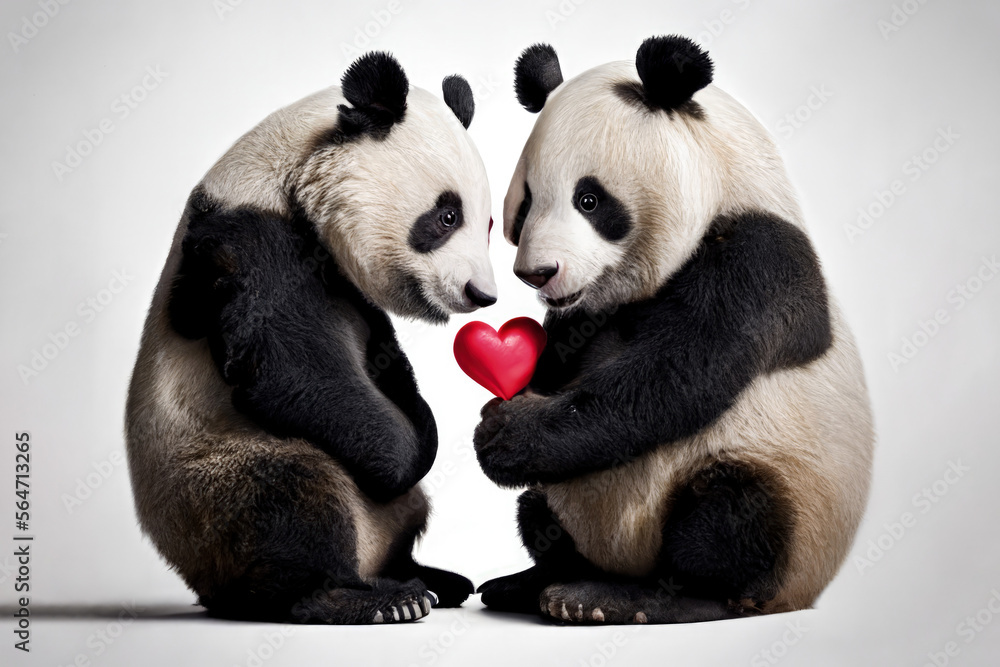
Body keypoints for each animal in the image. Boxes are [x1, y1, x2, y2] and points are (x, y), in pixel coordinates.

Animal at [125, 52, 496, 624]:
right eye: (446, 216)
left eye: (490, 222)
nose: (481, 294)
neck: (290, 170)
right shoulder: (254, 239)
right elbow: (290, 369)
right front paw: (402, 458)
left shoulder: (347, 286)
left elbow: (384, 361)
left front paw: (423, 436)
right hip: (209, 485)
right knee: (290, 499)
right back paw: (366, 599)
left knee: (408, 512)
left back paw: (425, 578)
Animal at [474, 36, 874, 624]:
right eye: (525, 204)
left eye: (589, 200)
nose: (538, 273)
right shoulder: (589, 311)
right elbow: (565, 359)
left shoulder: (761, 259)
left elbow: (678, 376)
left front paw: (504, 434)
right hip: (575, 509)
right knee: (538, 512)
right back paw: (538, 582)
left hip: (789, 498)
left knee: (732, 518)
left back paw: (639, 599)